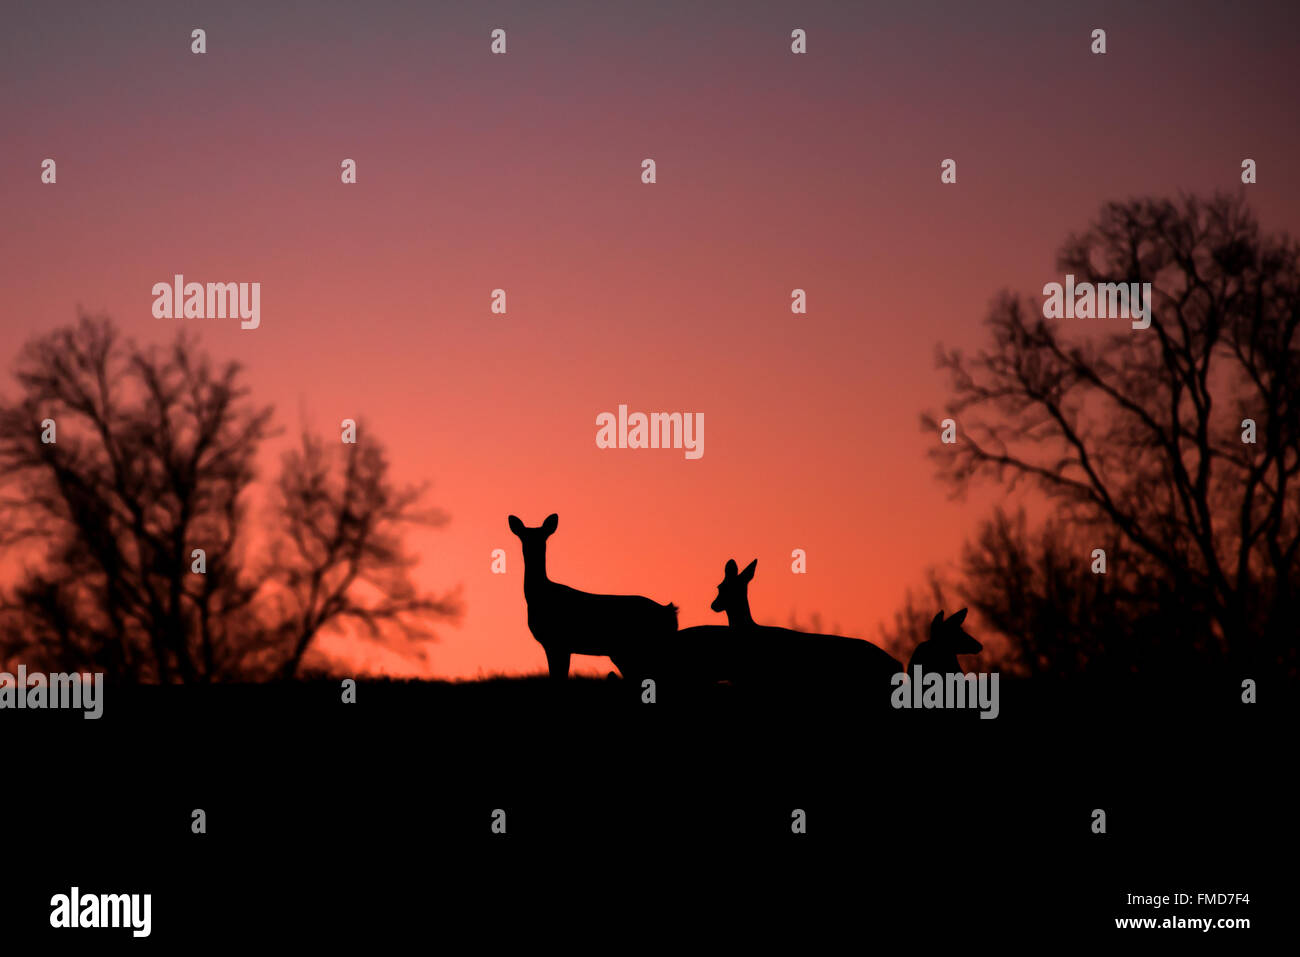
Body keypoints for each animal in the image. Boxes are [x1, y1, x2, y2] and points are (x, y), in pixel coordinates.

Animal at [508, 513, 678, 680]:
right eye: (523, 536)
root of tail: (669, 611)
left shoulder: (558, 643)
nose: (532, 548)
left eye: (543, 536)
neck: (539, 596)